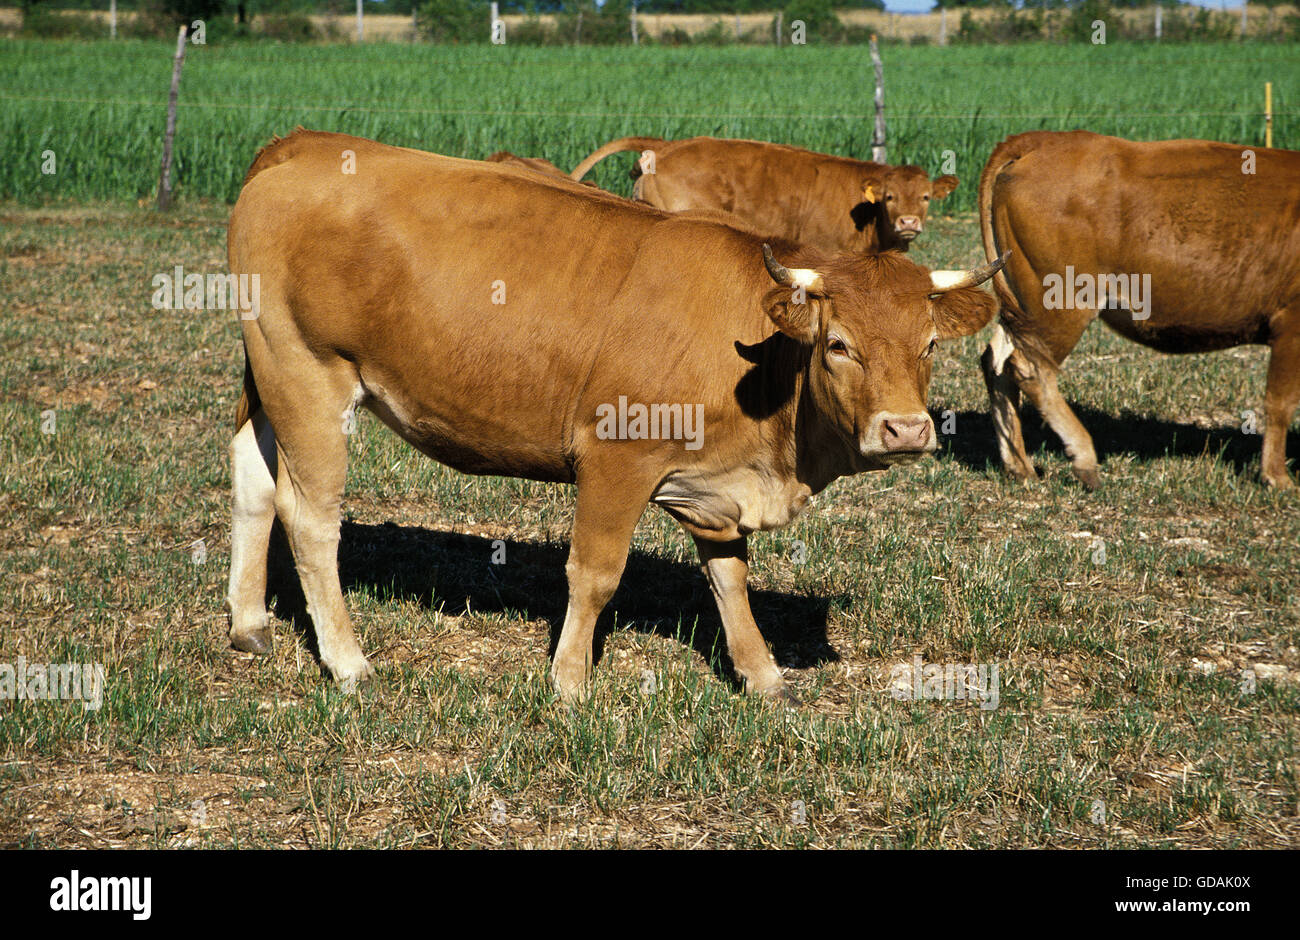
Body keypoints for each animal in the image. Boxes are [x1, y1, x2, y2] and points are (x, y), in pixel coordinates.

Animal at [978, 130, 1300, 489]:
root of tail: (1044, 139)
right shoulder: (1291, 323)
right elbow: (1280, 403)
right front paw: (1278, 478)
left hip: (1023, 305)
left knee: (996, 361)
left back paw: (1019, 466)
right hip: (1059, 304)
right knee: (1029, 369)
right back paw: (1083, 458)